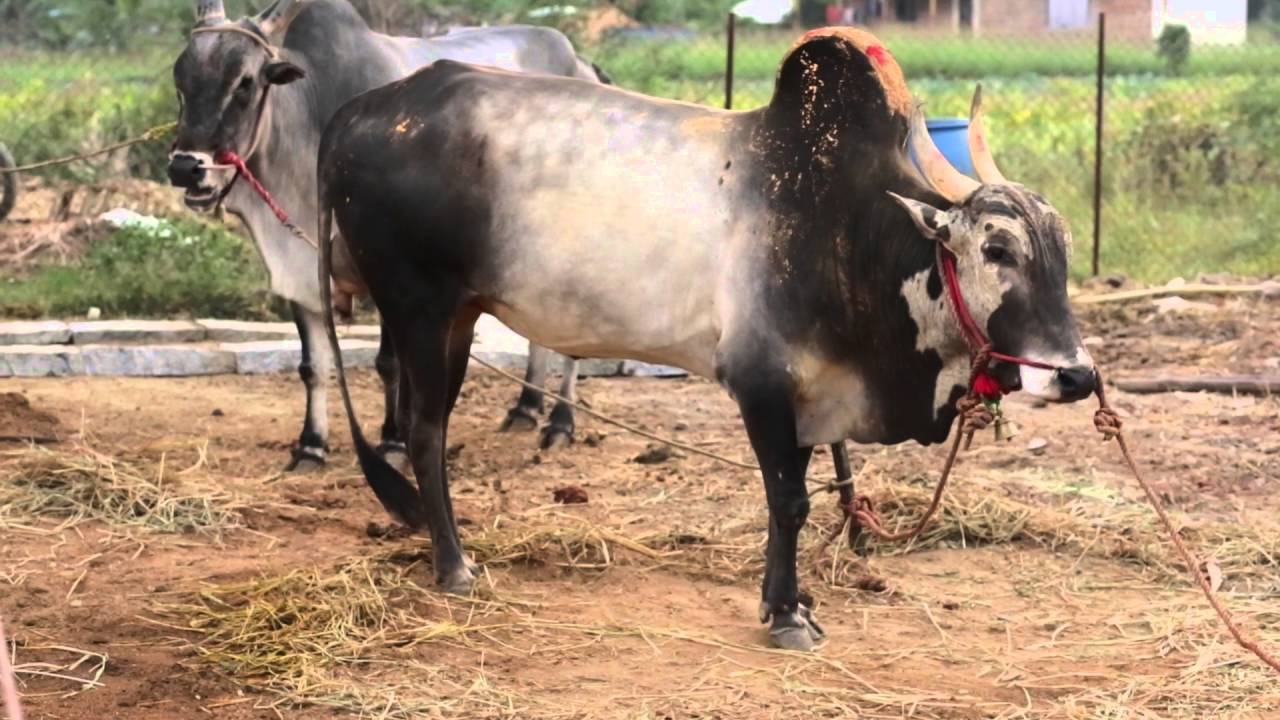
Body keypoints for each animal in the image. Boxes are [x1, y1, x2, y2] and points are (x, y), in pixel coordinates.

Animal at [166, 0, 607, 472]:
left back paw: (560, 423)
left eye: (245, 83)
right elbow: (312, 365)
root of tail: (583, 65)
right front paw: (311, 446)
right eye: (180, 80)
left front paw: (394, 442)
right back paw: (525, 409)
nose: (186, 168)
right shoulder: (300, 267)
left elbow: (390, 363)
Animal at [316, 28, 1098, 651]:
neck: (848, 233)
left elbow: (799, 493)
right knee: (424, 433)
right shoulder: (761, 382)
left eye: (1060, 252)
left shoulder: (811, 396)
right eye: (997, 249)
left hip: (455, 316)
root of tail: (358, 112)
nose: (1078, 376)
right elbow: (789, 502)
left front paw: (796, 601)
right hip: (422, 310)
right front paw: (786, 616)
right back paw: (454, 565)